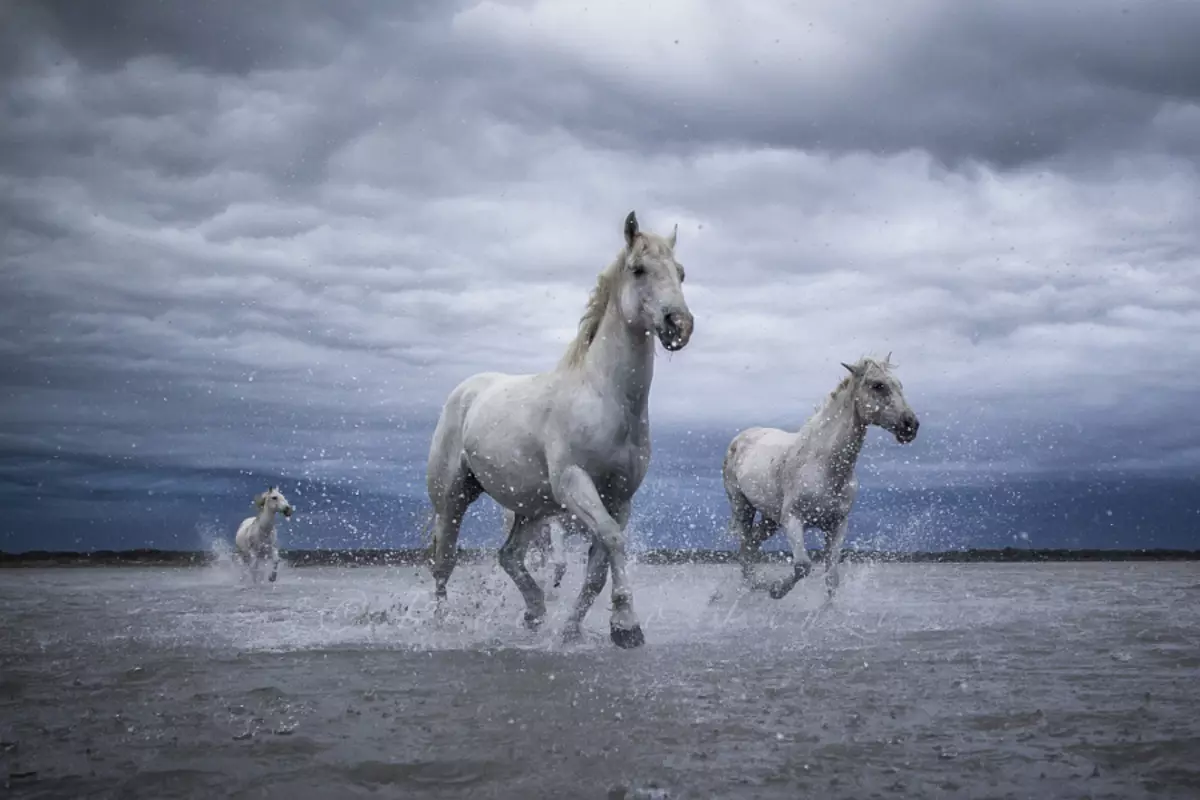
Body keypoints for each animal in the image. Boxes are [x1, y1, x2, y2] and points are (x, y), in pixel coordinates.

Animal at [429, 209, 696, 647]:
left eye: (681, 272)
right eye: (639, 269)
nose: (680, 324)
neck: (604, 398)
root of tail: (466, 391)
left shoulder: (619, 498)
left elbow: (597, 568)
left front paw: (574, 630)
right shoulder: (574, 482)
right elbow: (612, 539)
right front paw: (627, 625)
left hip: (530, 508)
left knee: (509, 555)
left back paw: (535, 612)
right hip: (452, 499)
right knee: (443, 561)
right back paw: (441, 623)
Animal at [720, 357, 916, 599]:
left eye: (900, 385)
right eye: (878, 385)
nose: (911, 425)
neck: (825, 467)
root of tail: (740, 438)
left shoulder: (837, 525)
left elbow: (832, 578)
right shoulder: (793, 520)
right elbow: (803, 565)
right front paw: (777, 590)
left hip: (770, 518)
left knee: (752, 545)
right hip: (742, 507)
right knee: (746, 548)